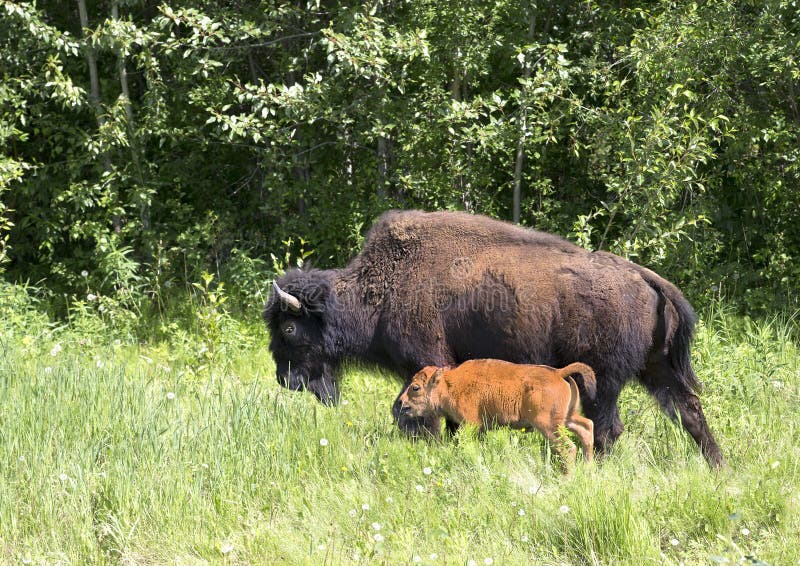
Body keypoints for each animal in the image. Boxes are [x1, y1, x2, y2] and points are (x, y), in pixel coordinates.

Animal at [397, 360, 596, 472]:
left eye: (415, 387)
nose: (401, 402)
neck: (448, 384)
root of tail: (558, 372)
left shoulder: (471, 425)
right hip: (566, 419)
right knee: (587, 427)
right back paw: (588, 471)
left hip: (548, 425)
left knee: (569, 448)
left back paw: (566, 478)